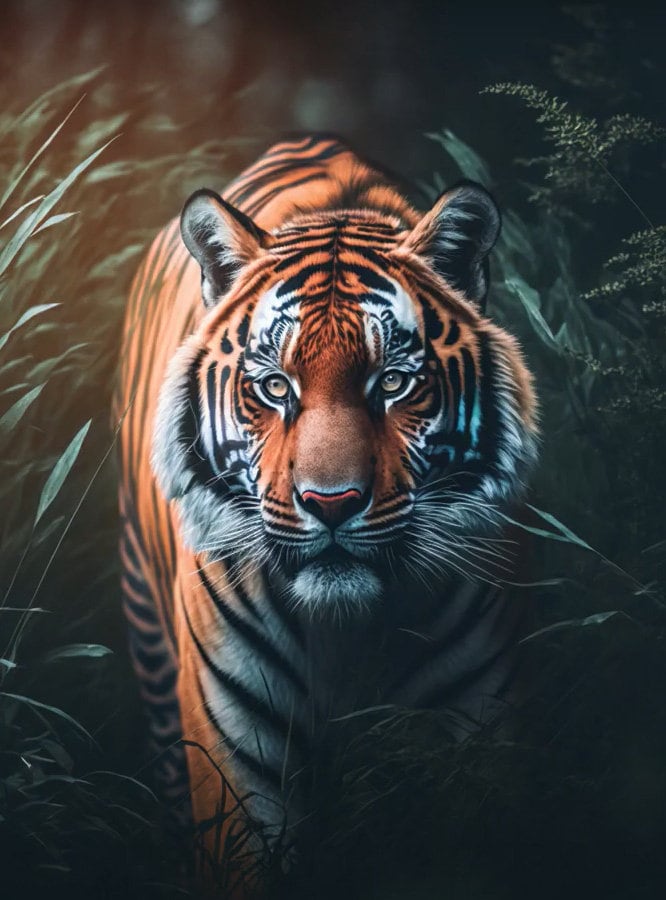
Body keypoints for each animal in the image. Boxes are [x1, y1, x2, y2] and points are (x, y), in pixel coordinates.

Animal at [114, 134, 538, 893]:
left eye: (393, 383)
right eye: (274, 388)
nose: (330, 503)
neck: (348, 634)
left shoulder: (487, 729)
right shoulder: (237, 765)